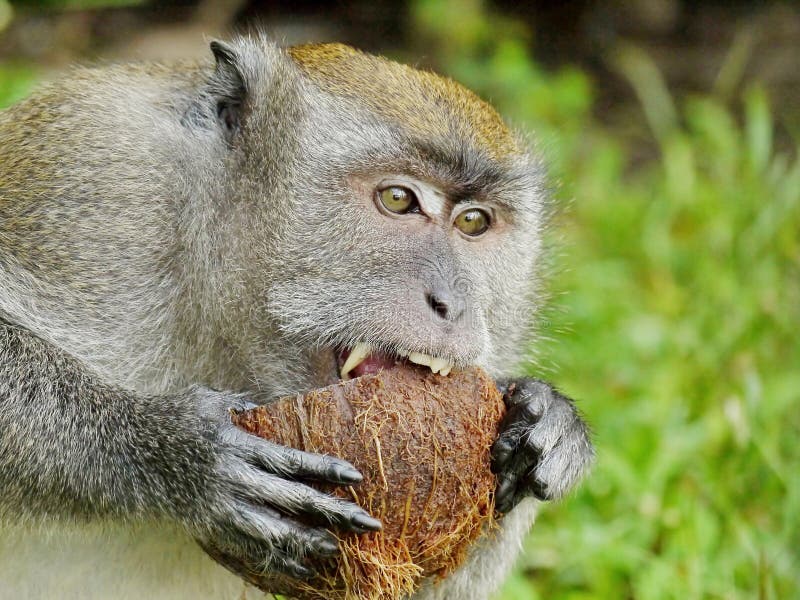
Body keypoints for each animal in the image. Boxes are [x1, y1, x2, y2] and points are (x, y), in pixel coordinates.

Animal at [0, 35, 594, 600]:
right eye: (398, 198)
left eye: (473, 221)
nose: (452, 304)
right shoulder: (94, 167)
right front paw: (182, 451)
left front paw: (545, 420)